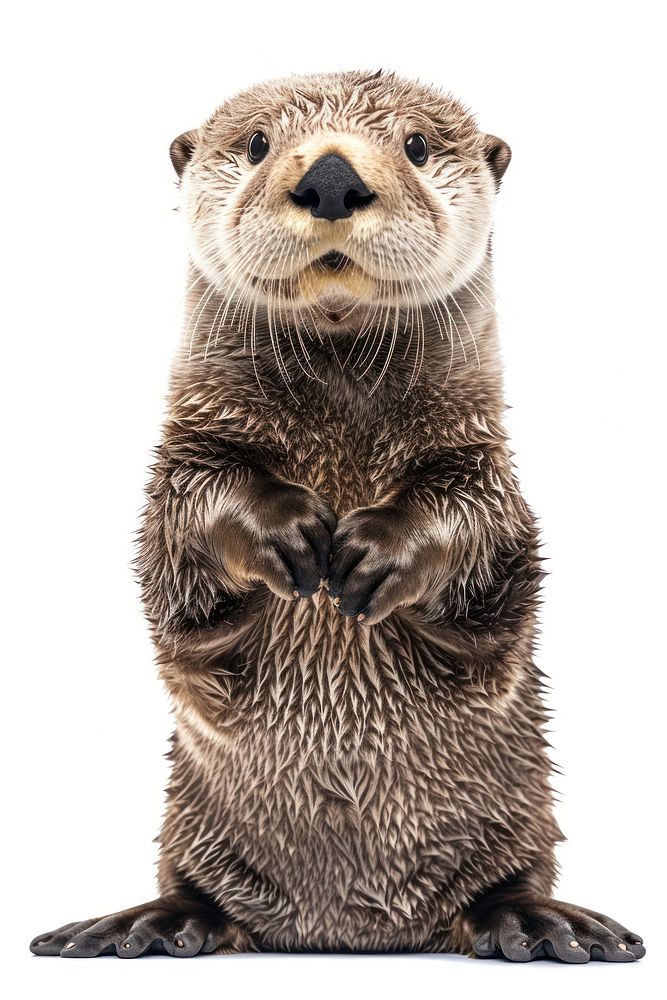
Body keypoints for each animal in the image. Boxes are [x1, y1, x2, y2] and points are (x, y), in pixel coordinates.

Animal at [30, 70, 644, 962]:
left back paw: (536, 924)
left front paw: (377, 551)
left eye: (415, 145)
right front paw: (285, 531)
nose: (329, 176)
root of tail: (339, 928)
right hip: (188, 825)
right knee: (195, 889)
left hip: (520, 820)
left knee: (511, 877)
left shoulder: (482, 462)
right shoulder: (188, 451)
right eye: (257, 143)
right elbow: (182, 528)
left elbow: (487, 541)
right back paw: (154, 924)